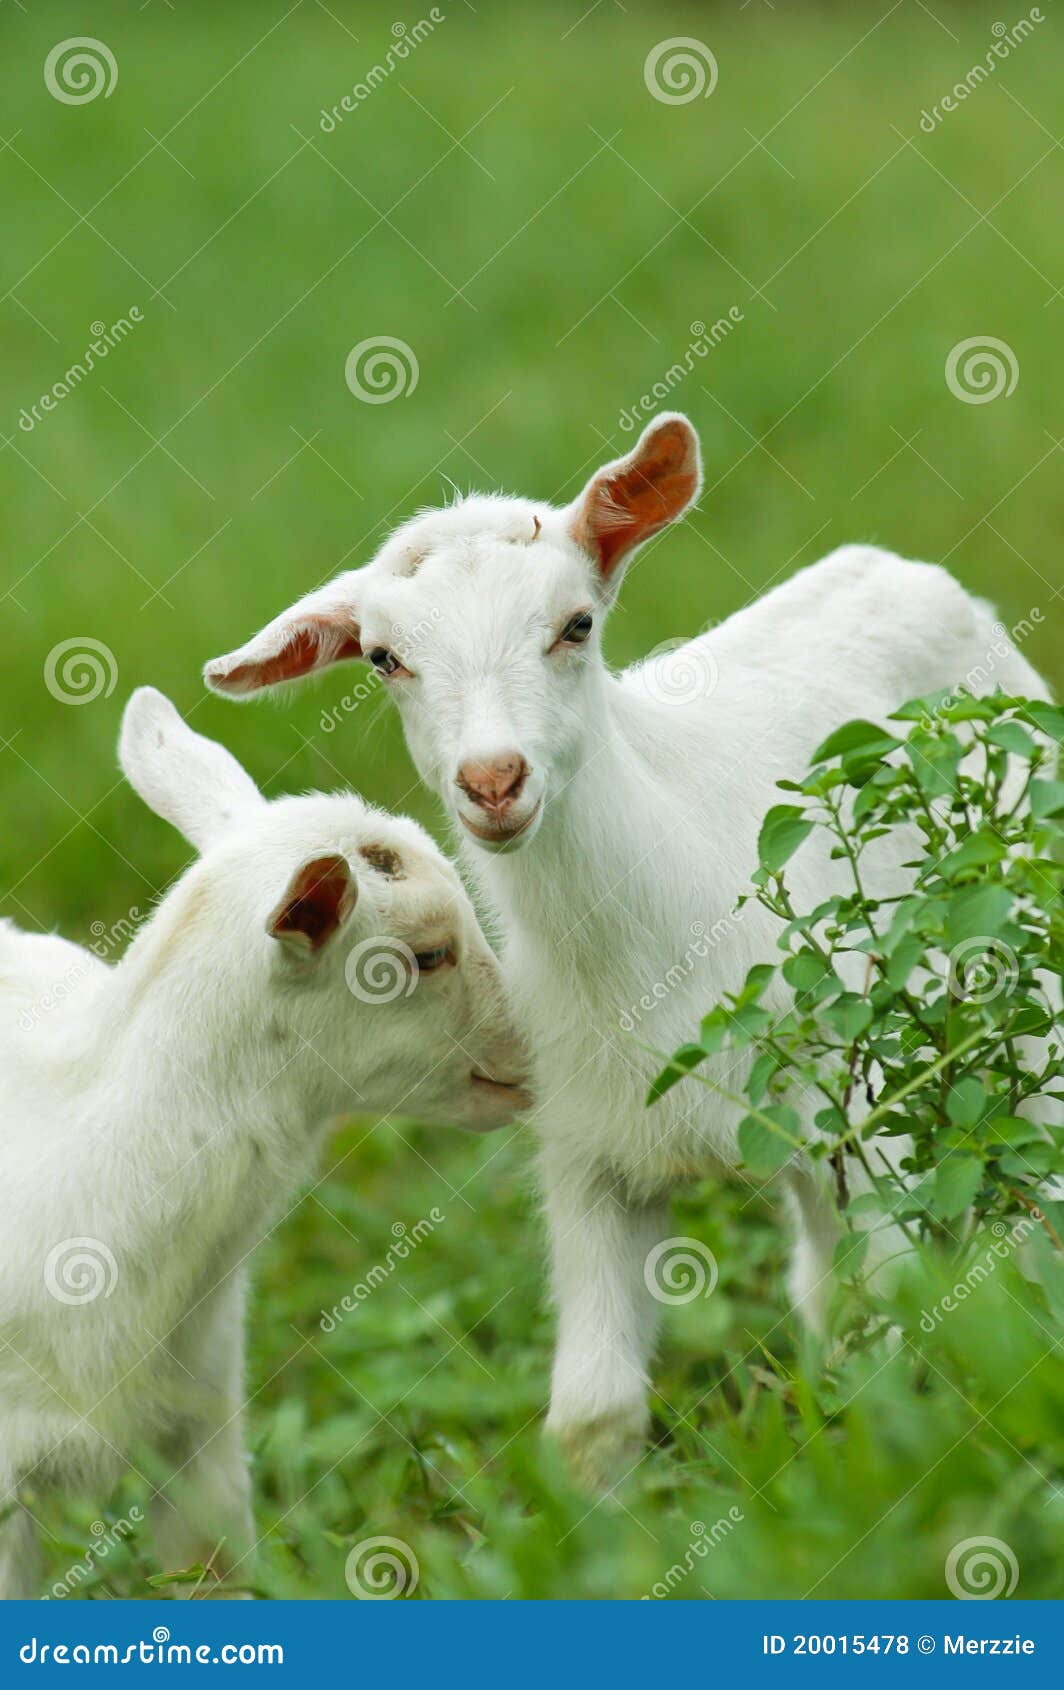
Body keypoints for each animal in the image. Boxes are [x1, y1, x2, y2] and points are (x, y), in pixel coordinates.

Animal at [205, 412, 1053, 1488]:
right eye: (384, 659)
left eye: (575, 624)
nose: (492, 782)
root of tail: (903, 571)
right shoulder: (583, 1145)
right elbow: (592, 1412)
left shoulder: (863, 1120)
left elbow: (902, 1308)